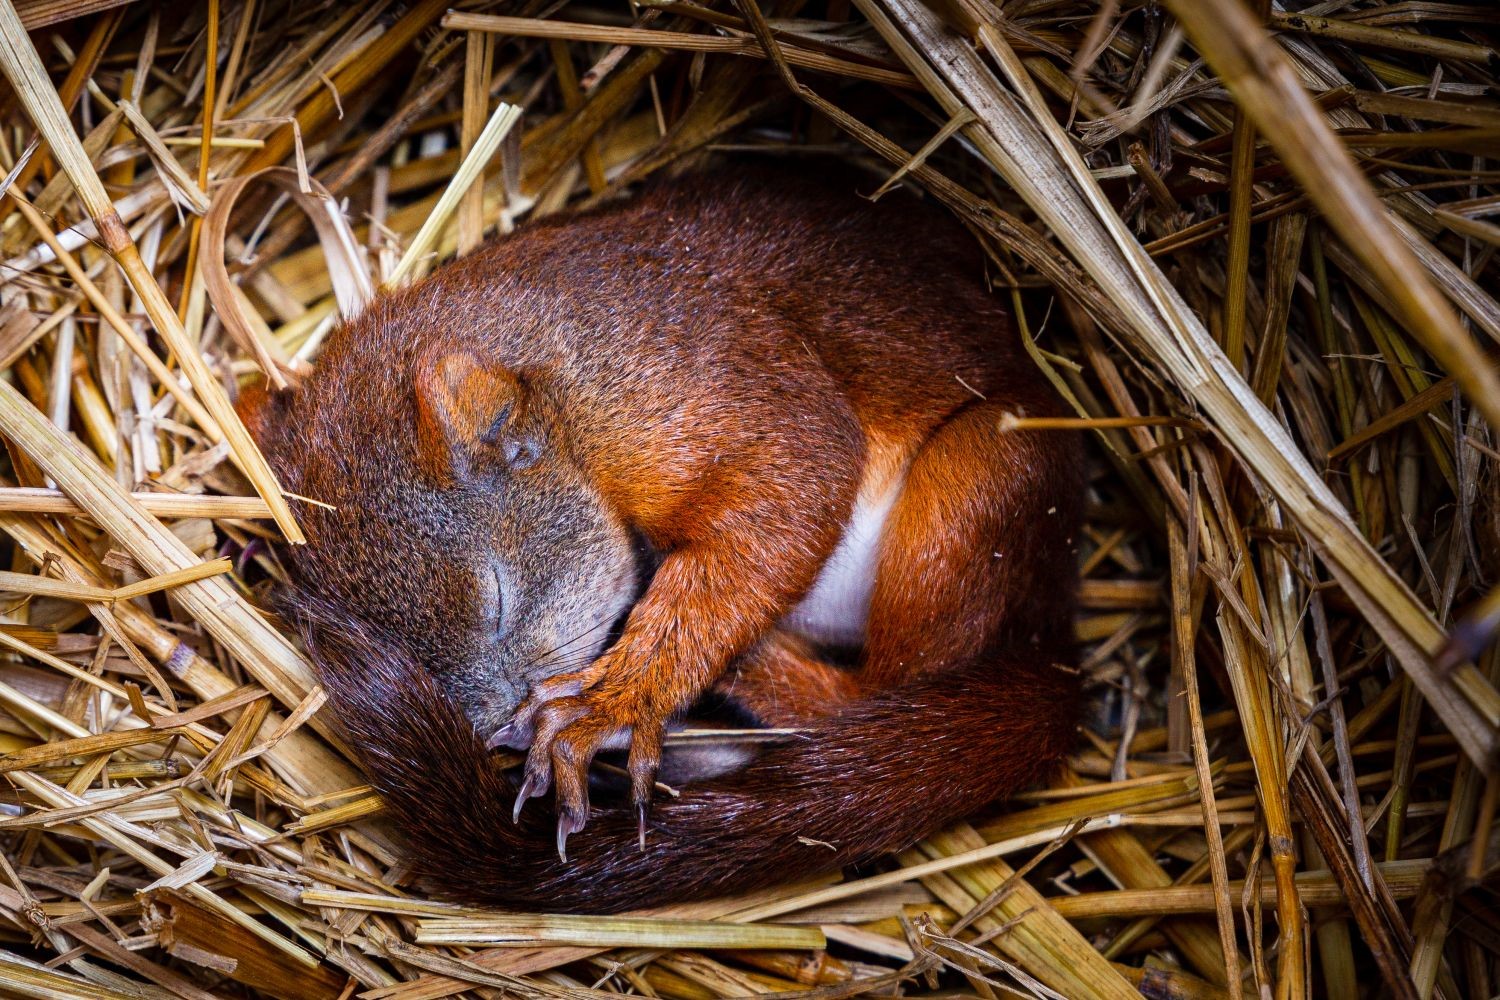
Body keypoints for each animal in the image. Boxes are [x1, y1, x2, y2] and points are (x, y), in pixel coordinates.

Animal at [240, 168, 1084, 913]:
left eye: (498, 600)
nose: (490, 742)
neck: (560, 367)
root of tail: (1057, 632)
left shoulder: (696, 388)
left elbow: (795, 484)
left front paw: (606, 708)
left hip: (981, 483)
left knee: (889, 682)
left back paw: (758, 675)